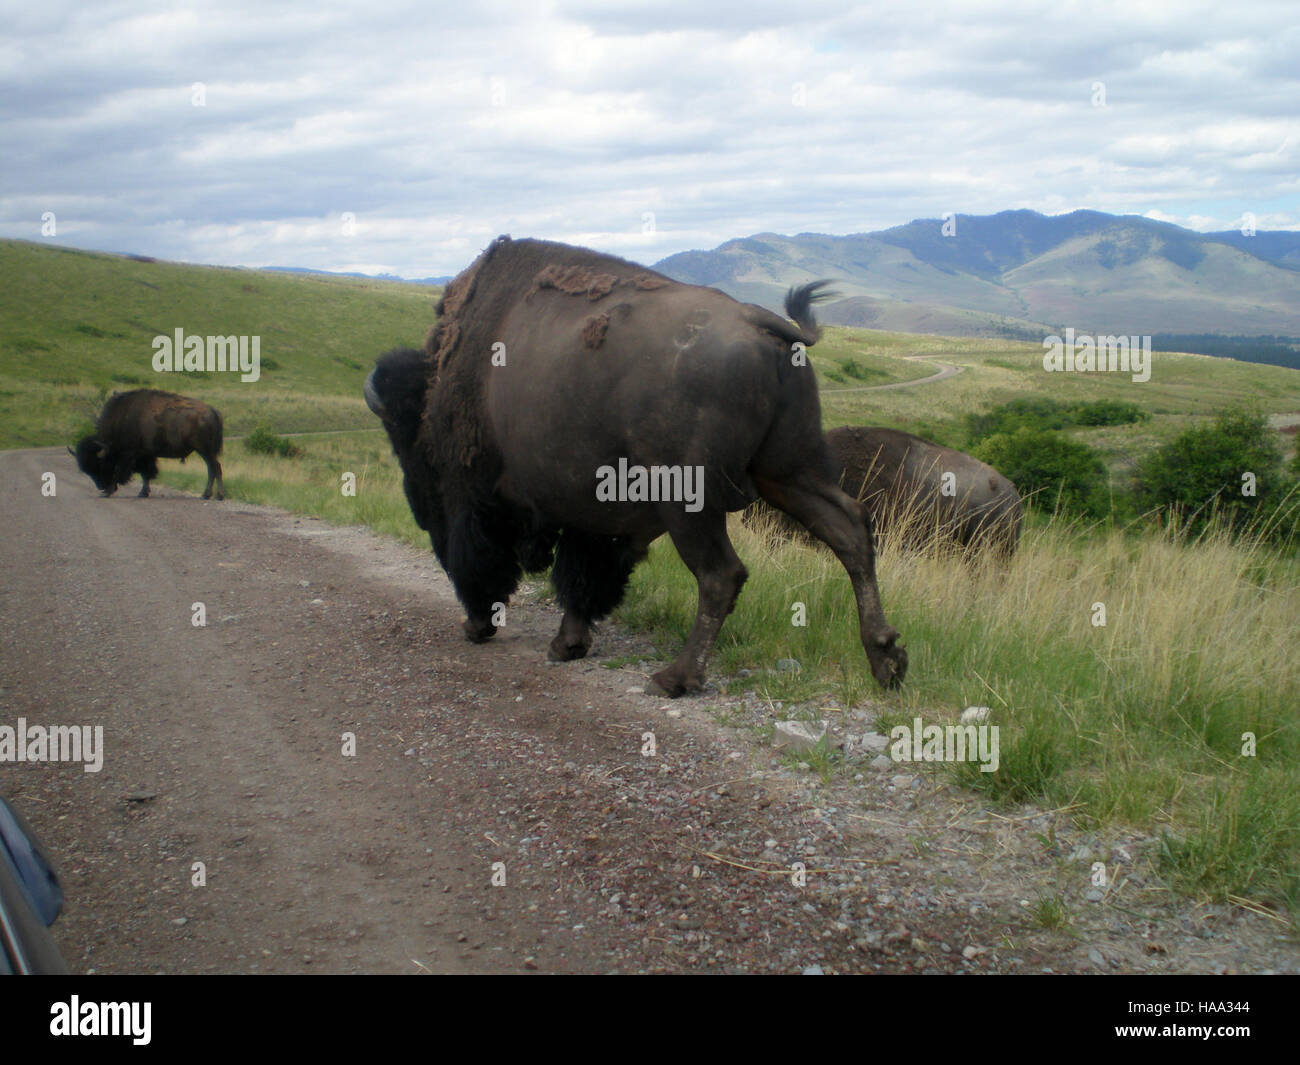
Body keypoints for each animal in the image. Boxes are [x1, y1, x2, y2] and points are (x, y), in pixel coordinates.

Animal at [70, 389, 225, 500]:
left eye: (100, 464)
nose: (101, 487)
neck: (122, 418)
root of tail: (212, 410)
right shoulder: (145, 456)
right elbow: (146, 474)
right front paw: (143, 493)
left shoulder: (129, 455)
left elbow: (122, 472)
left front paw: (109, 492)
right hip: (205, 452)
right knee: (212, 469)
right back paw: (208, 495)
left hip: (205, 451)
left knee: (215, 468)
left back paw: (214, 495)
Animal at [365, 236, 907, 696]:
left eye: (411, 448)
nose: (419, 508)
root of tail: (760, 321)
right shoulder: (593, 513)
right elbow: (583, 575)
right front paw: (566, 644)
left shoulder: (480, 497)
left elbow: (501, 560)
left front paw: (497, 627)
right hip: (790, 473)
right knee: (850, 531)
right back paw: (887, 661)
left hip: (690, 502)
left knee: (721, 575)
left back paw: (675, 678)